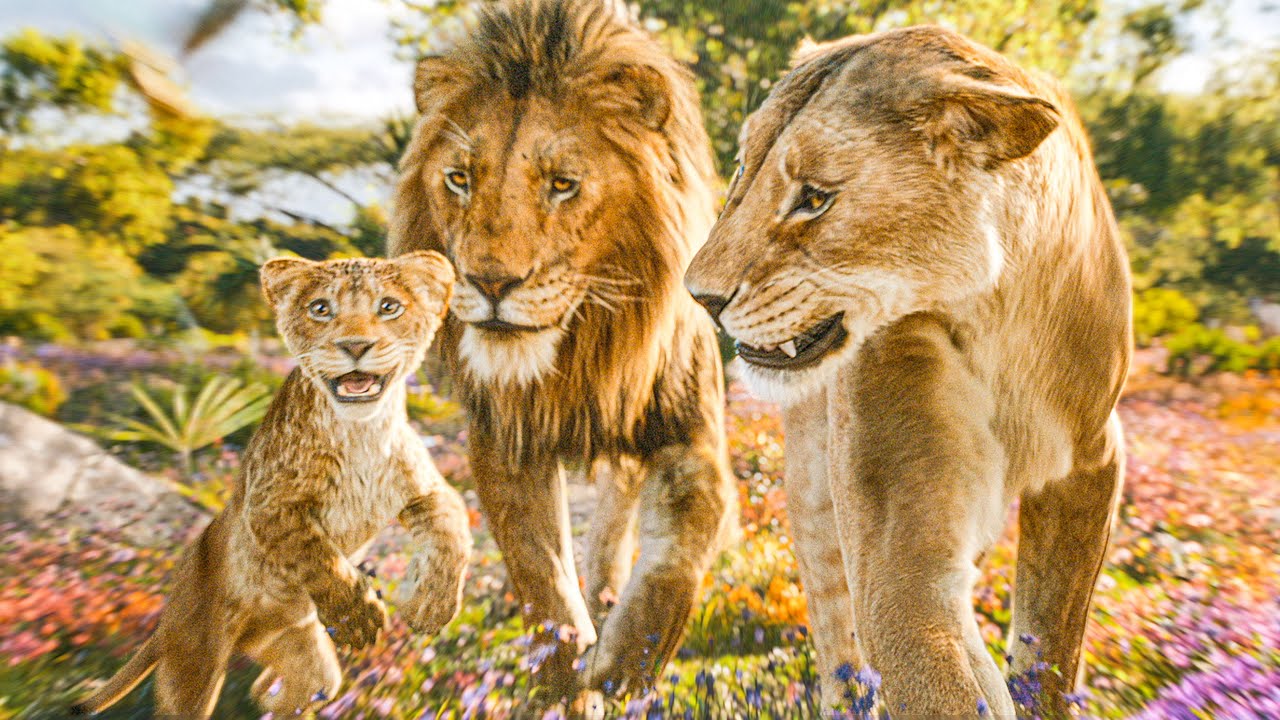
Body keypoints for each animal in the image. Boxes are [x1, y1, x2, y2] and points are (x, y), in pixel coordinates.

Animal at [72, 253, 472, 718]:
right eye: (321, 309)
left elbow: (454, 529)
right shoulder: (269, 505)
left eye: (389, 307)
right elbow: (317, 555)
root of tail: (165, 620)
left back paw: (271, 690)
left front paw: (430, 605)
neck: (362, 432)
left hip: (299, 653)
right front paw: (356, 616)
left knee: (295, 692)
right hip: (194, 667)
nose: (355, 346)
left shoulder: (425, 491)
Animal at [388, 0, 735, 701]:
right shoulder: (504, 441)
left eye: (563, 184)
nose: (490, 283)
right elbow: (537, 567)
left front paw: (625, 665)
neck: (578, 354)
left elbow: (679, 554)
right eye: (458, 179)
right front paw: (562, 672)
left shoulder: (695, 438)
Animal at [684, 27, 1131, 717]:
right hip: (813, 495)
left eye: (815, 198)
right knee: (836, 635)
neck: (996, 315)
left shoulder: (1091, 464)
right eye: (742, 169)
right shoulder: (899, 539)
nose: (699, 296)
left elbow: (1051, 649)